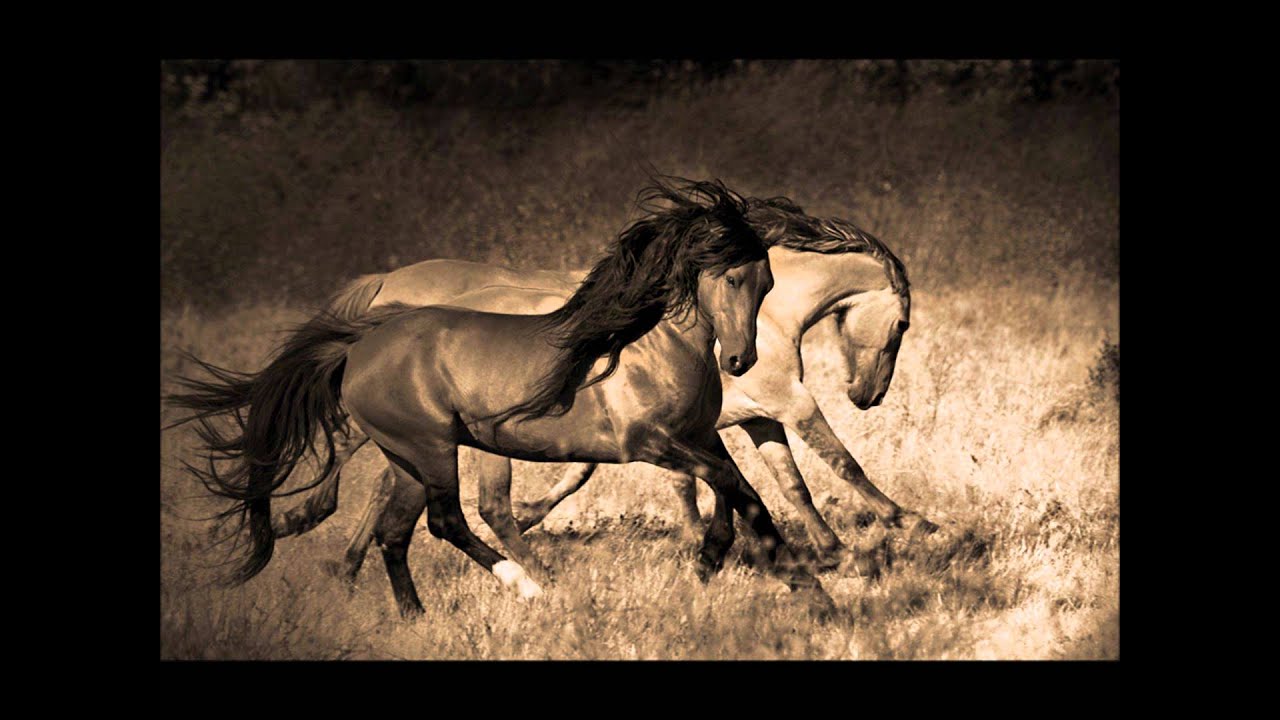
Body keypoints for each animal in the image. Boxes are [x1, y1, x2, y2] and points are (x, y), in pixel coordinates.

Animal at [168, 177, 835, 617]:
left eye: (767, 282)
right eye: (731, 277)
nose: (740, 361)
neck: (654, 348)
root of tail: (358, 347)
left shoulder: (698, 439)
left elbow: (735, 495)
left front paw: (729, 569)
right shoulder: (650, 443)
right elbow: (742, 494)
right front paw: (804, 587)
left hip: (405, 459)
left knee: (394, 532)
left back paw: (416, 616)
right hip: (431, 447)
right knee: (445, 521)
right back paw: (532, 587)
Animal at [273, 196, 936, 585]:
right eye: (902, 324)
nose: (868, 396)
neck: (763, 320)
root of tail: (385, 287)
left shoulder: (748, 418)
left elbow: (782, 483)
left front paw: (822, 549)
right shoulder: (783, 404)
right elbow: (838, 462)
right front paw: (907, 523)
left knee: (389, 486)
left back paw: (343, 561)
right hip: (452, 437)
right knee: (448, 496)